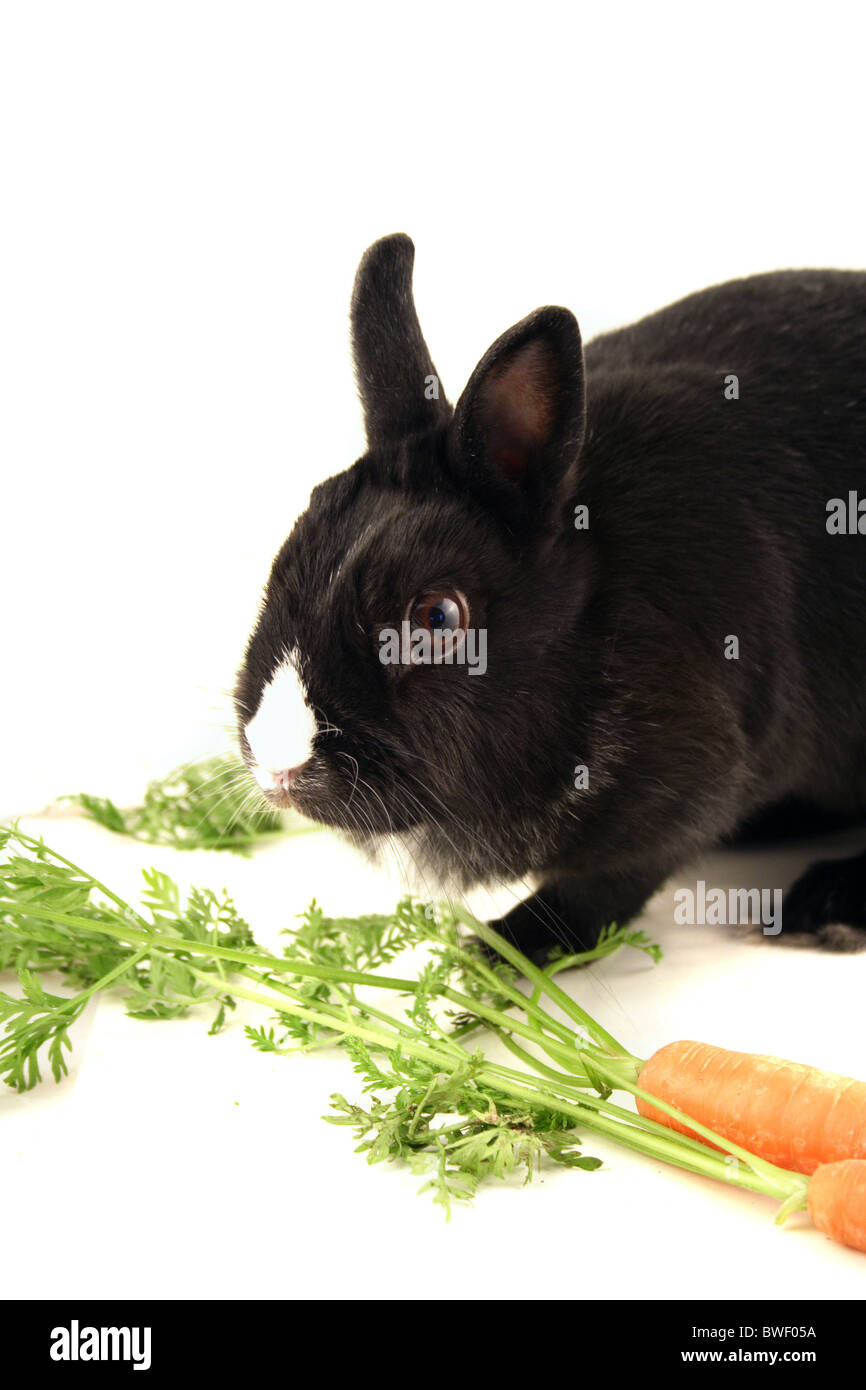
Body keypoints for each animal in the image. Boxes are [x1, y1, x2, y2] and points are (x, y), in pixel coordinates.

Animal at [234, 233, 866, 961]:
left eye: (438, 618)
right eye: (286, 559)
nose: (278, 762)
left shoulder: (693, 776)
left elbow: (603, 887)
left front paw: (493, 958)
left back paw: (821, 911)